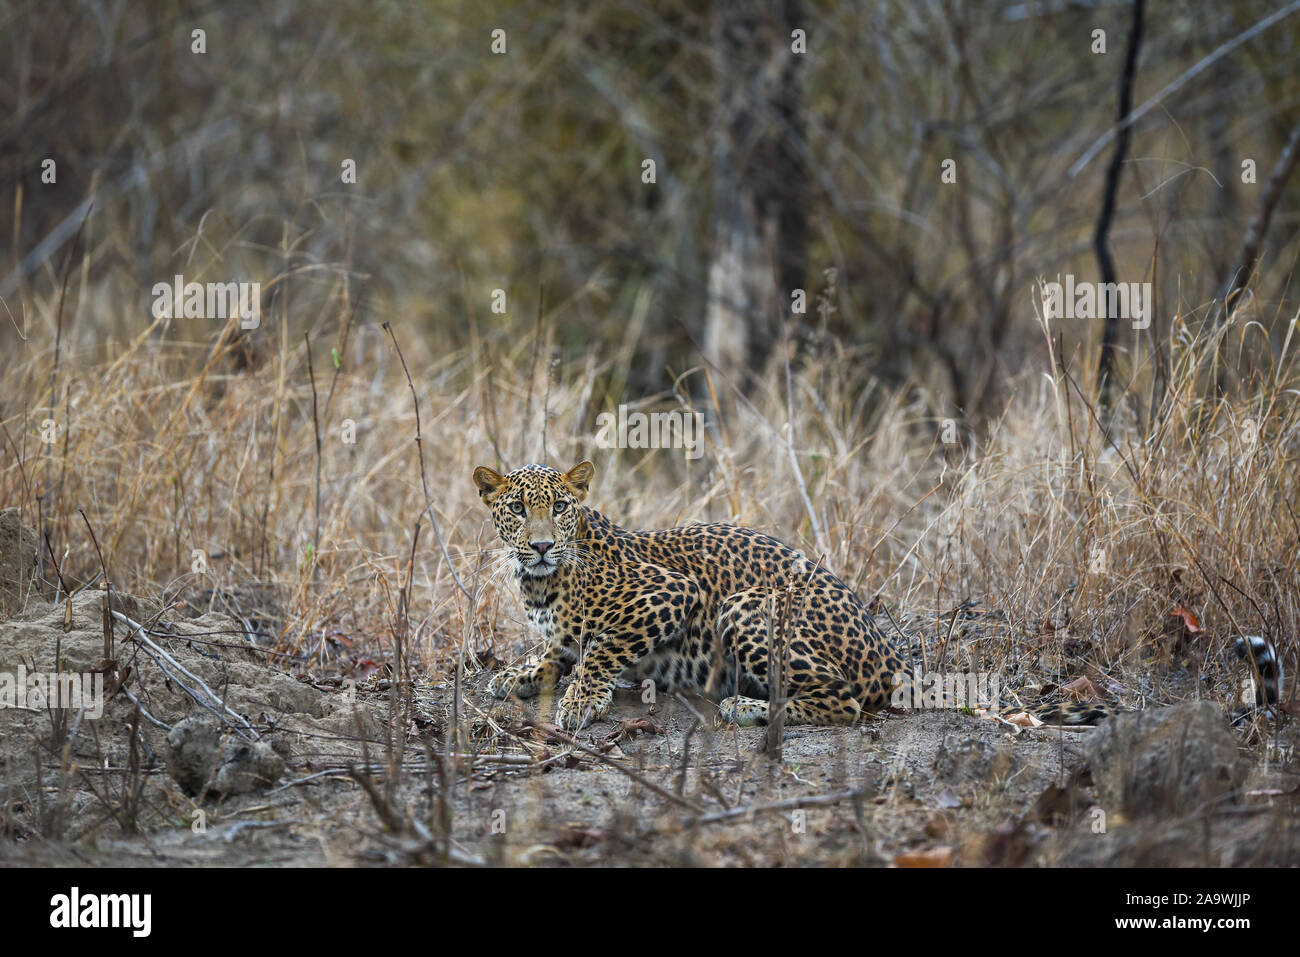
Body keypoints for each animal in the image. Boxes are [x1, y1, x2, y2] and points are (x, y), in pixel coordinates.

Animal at [475, 461, 1284, 732]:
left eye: (560, 508)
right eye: (516, 510)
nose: (540, 543)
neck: (542, 582)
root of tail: (891, 651)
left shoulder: (667, 594)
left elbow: (597, 650)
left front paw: (576, 702)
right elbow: (553, 648)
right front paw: (515, 673)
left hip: (747, 607)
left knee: (843, 703)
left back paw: (745, 708)